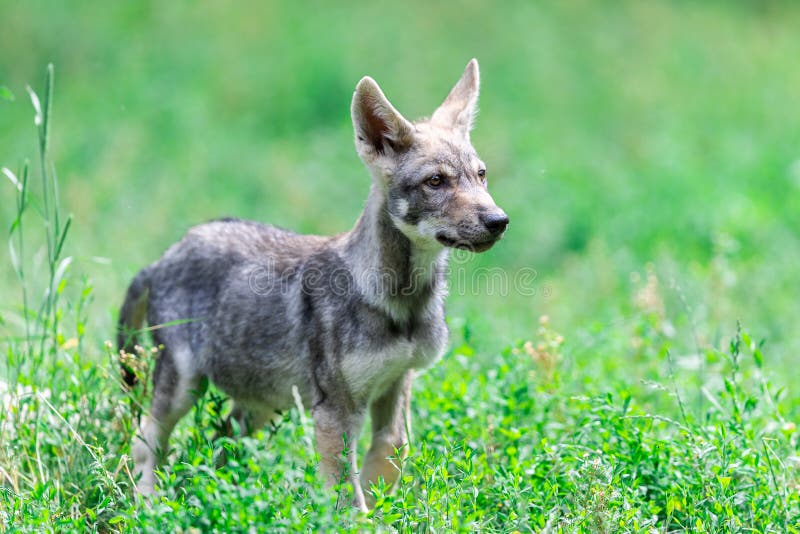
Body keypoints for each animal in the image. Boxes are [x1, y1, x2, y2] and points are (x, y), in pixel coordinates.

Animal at [117, 58, 508, 510]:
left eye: (481, 175)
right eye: (435, 182)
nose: (498, 221)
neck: (401, 305)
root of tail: (162, 257)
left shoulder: (397, 382)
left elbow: (387, 459)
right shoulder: (334, 410)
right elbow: (349, 500)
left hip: (264, 406)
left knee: (219, 445)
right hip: (184, 387)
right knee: (146, 442)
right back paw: (148, 508)